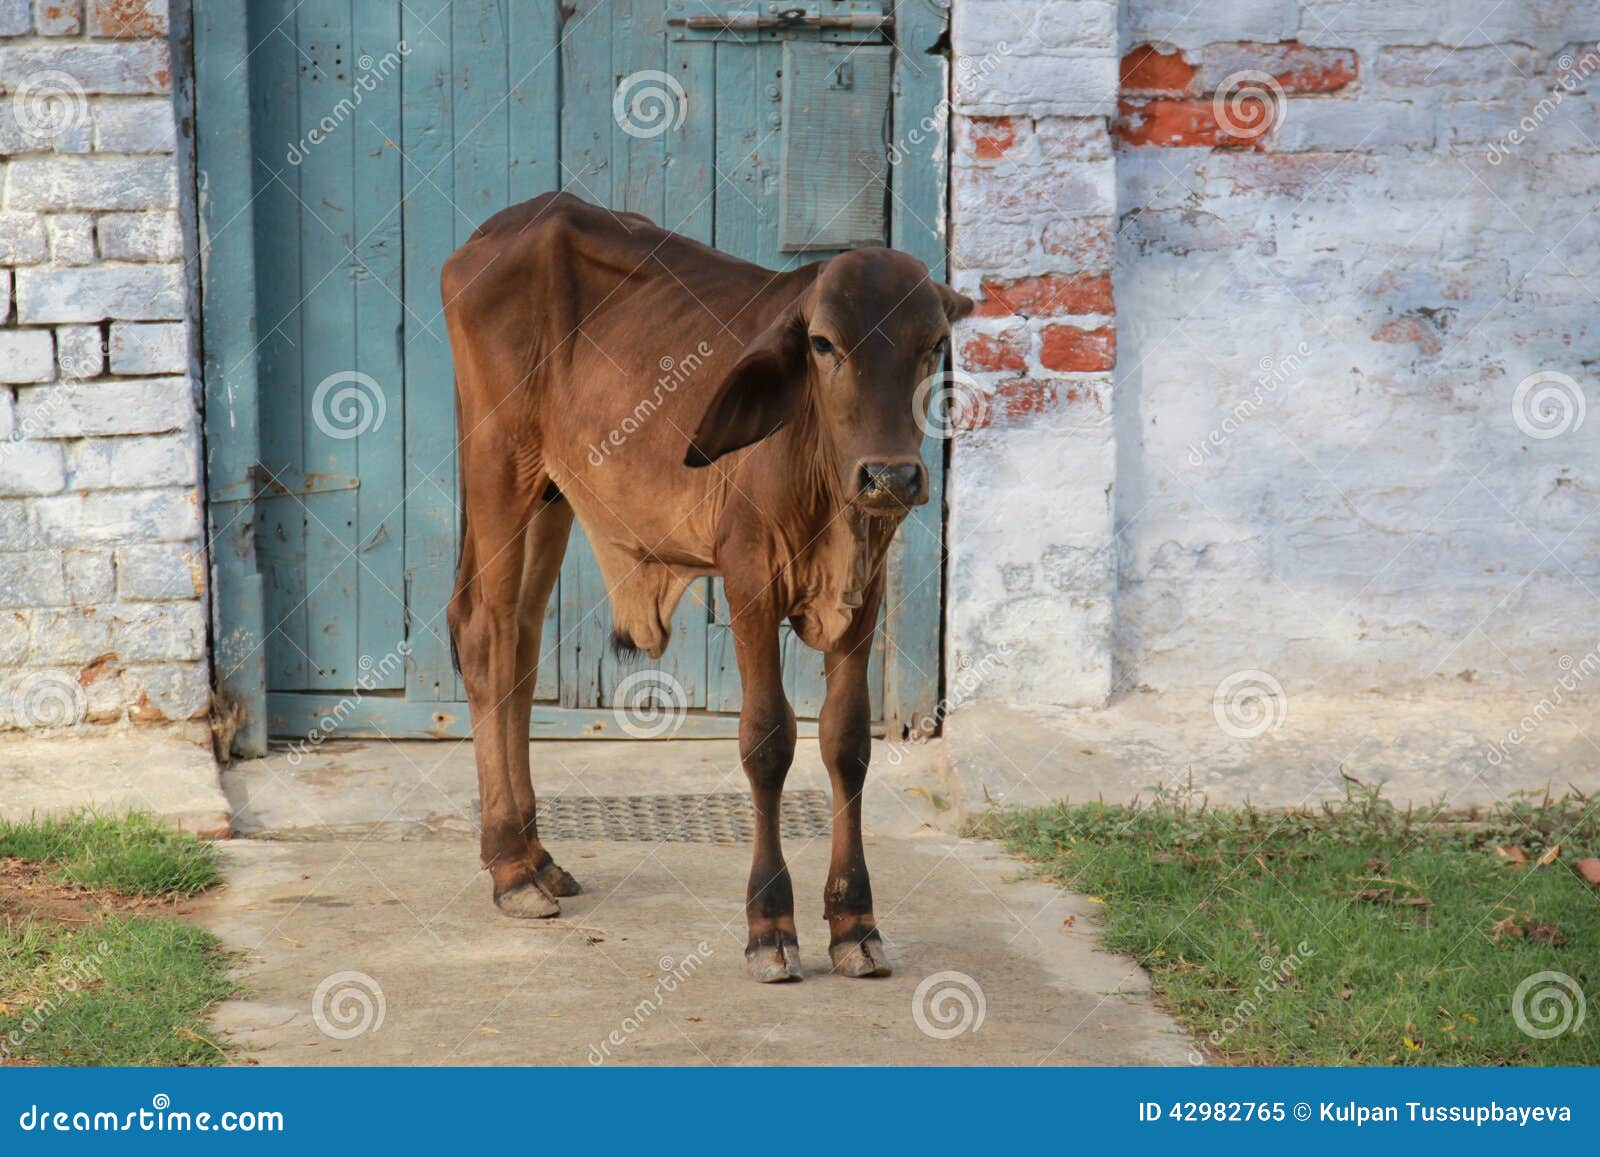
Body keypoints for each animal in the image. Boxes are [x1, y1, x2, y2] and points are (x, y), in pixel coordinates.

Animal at [442, 192, 973, 983]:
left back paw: (537, 857)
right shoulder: (749, 579)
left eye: (934, 344)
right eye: (823, 344)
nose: (890, 476)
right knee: (486, 633)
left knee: (522, 648)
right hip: (498, 464)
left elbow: (846, 743)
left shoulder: (865, 596)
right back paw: (510, 867)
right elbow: (768, 740)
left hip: (552, 493)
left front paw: (855, 921)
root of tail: (500, 227)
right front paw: (769, 926)